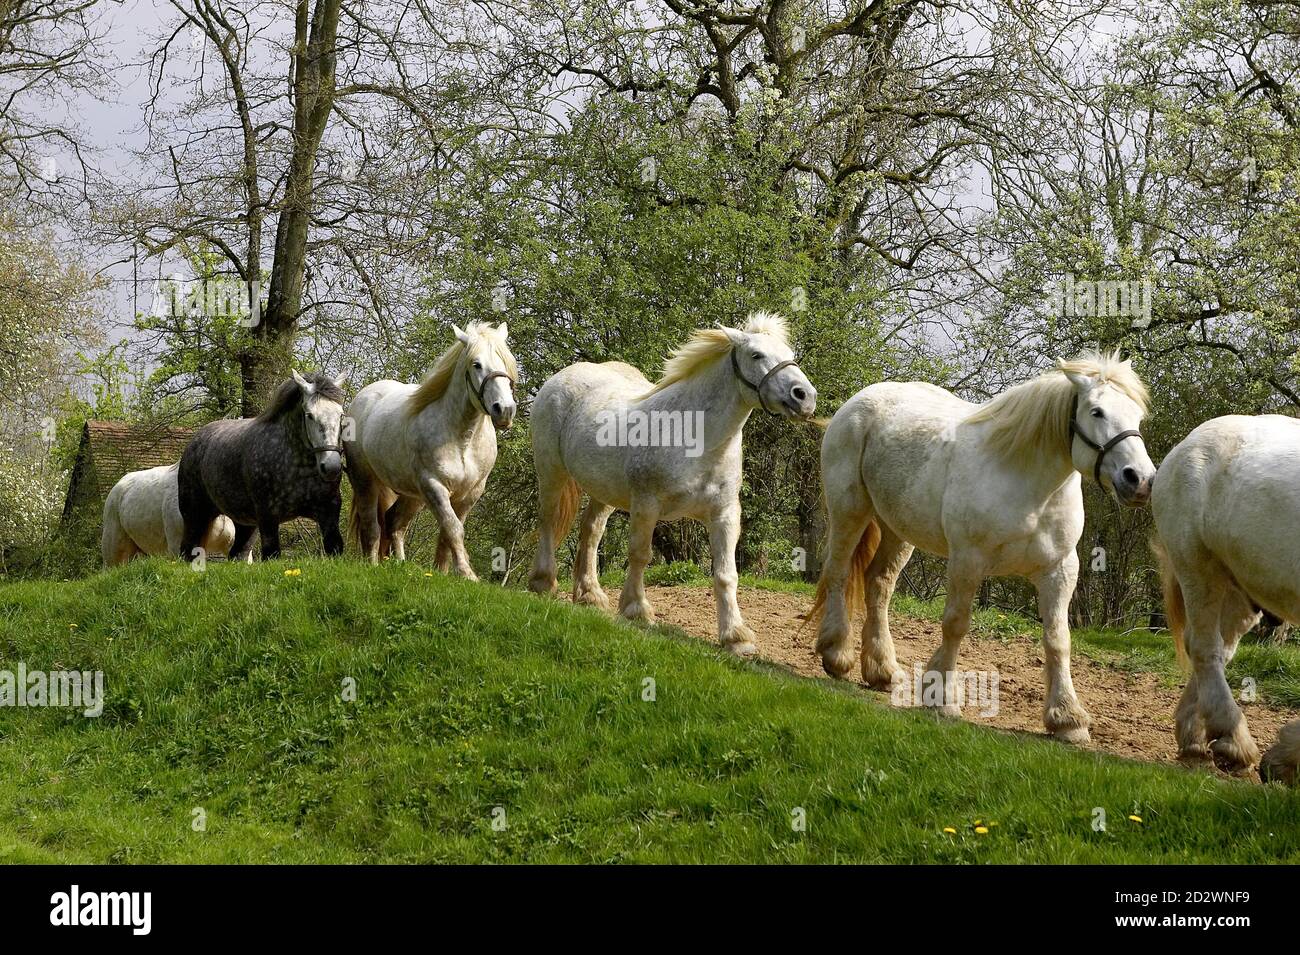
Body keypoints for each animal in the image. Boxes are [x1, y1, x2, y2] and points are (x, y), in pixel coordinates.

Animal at [177, 371, 348, 561]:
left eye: (341, 414)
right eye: (310, 415)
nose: (331, 467)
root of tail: (195, 442)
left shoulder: (329, 512)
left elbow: (334, 546)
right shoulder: (268, 516)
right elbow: (271, 552)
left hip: (245, 524)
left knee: (238, 554)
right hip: (194, 515)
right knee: (187, 550)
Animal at [345, 322, 517, 577]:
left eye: (506, 362)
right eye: (476, 364)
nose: (504, 410)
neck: (463, 441)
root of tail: (362, 398)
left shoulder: (470, 493)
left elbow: (447, 533)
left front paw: (442, 573)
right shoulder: (434, 486)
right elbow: (453, 528)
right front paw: (467, 574)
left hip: (413, 494)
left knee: (395, 522)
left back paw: (401, 565)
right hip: (365, 480)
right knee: (372, 526)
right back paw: (372, 564)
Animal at [527, 311, 817, 654]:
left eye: (790, 355)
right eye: (756, 355)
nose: (805, 396)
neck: (697, 437)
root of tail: (564, 376)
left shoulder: (725, 514)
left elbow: (726, 574)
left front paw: (736, 636)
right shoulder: (646, 504)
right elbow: (640, 555)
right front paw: (636, 609)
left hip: (604, 491)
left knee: (591, 531)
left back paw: (590, 595)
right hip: (552, 471)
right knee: (548, 521)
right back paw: (543, 582)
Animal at [807, 352, 1156, 742]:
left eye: (1137, 415)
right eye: (1096, 411)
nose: (1140, 480)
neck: (1027, 483)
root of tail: (857, 401)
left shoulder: (1059, 570)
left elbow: (1058, 639)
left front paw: (1067, 718)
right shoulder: (967, 561)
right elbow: (955, 624)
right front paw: (942, 698)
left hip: (896, 529)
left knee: (878, 586)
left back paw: (883, 671)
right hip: (849, 510)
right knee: (838, 573)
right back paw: (836, 654)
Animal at [1151, 414, 1300, 781]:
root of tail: (1186, 443)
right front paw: (1283, 759)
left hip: (1237, 591)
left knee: (1219, 650)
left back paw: (1193, 738)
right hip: (1197, 568)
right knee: (1204, 646)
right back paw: (1233, 740)